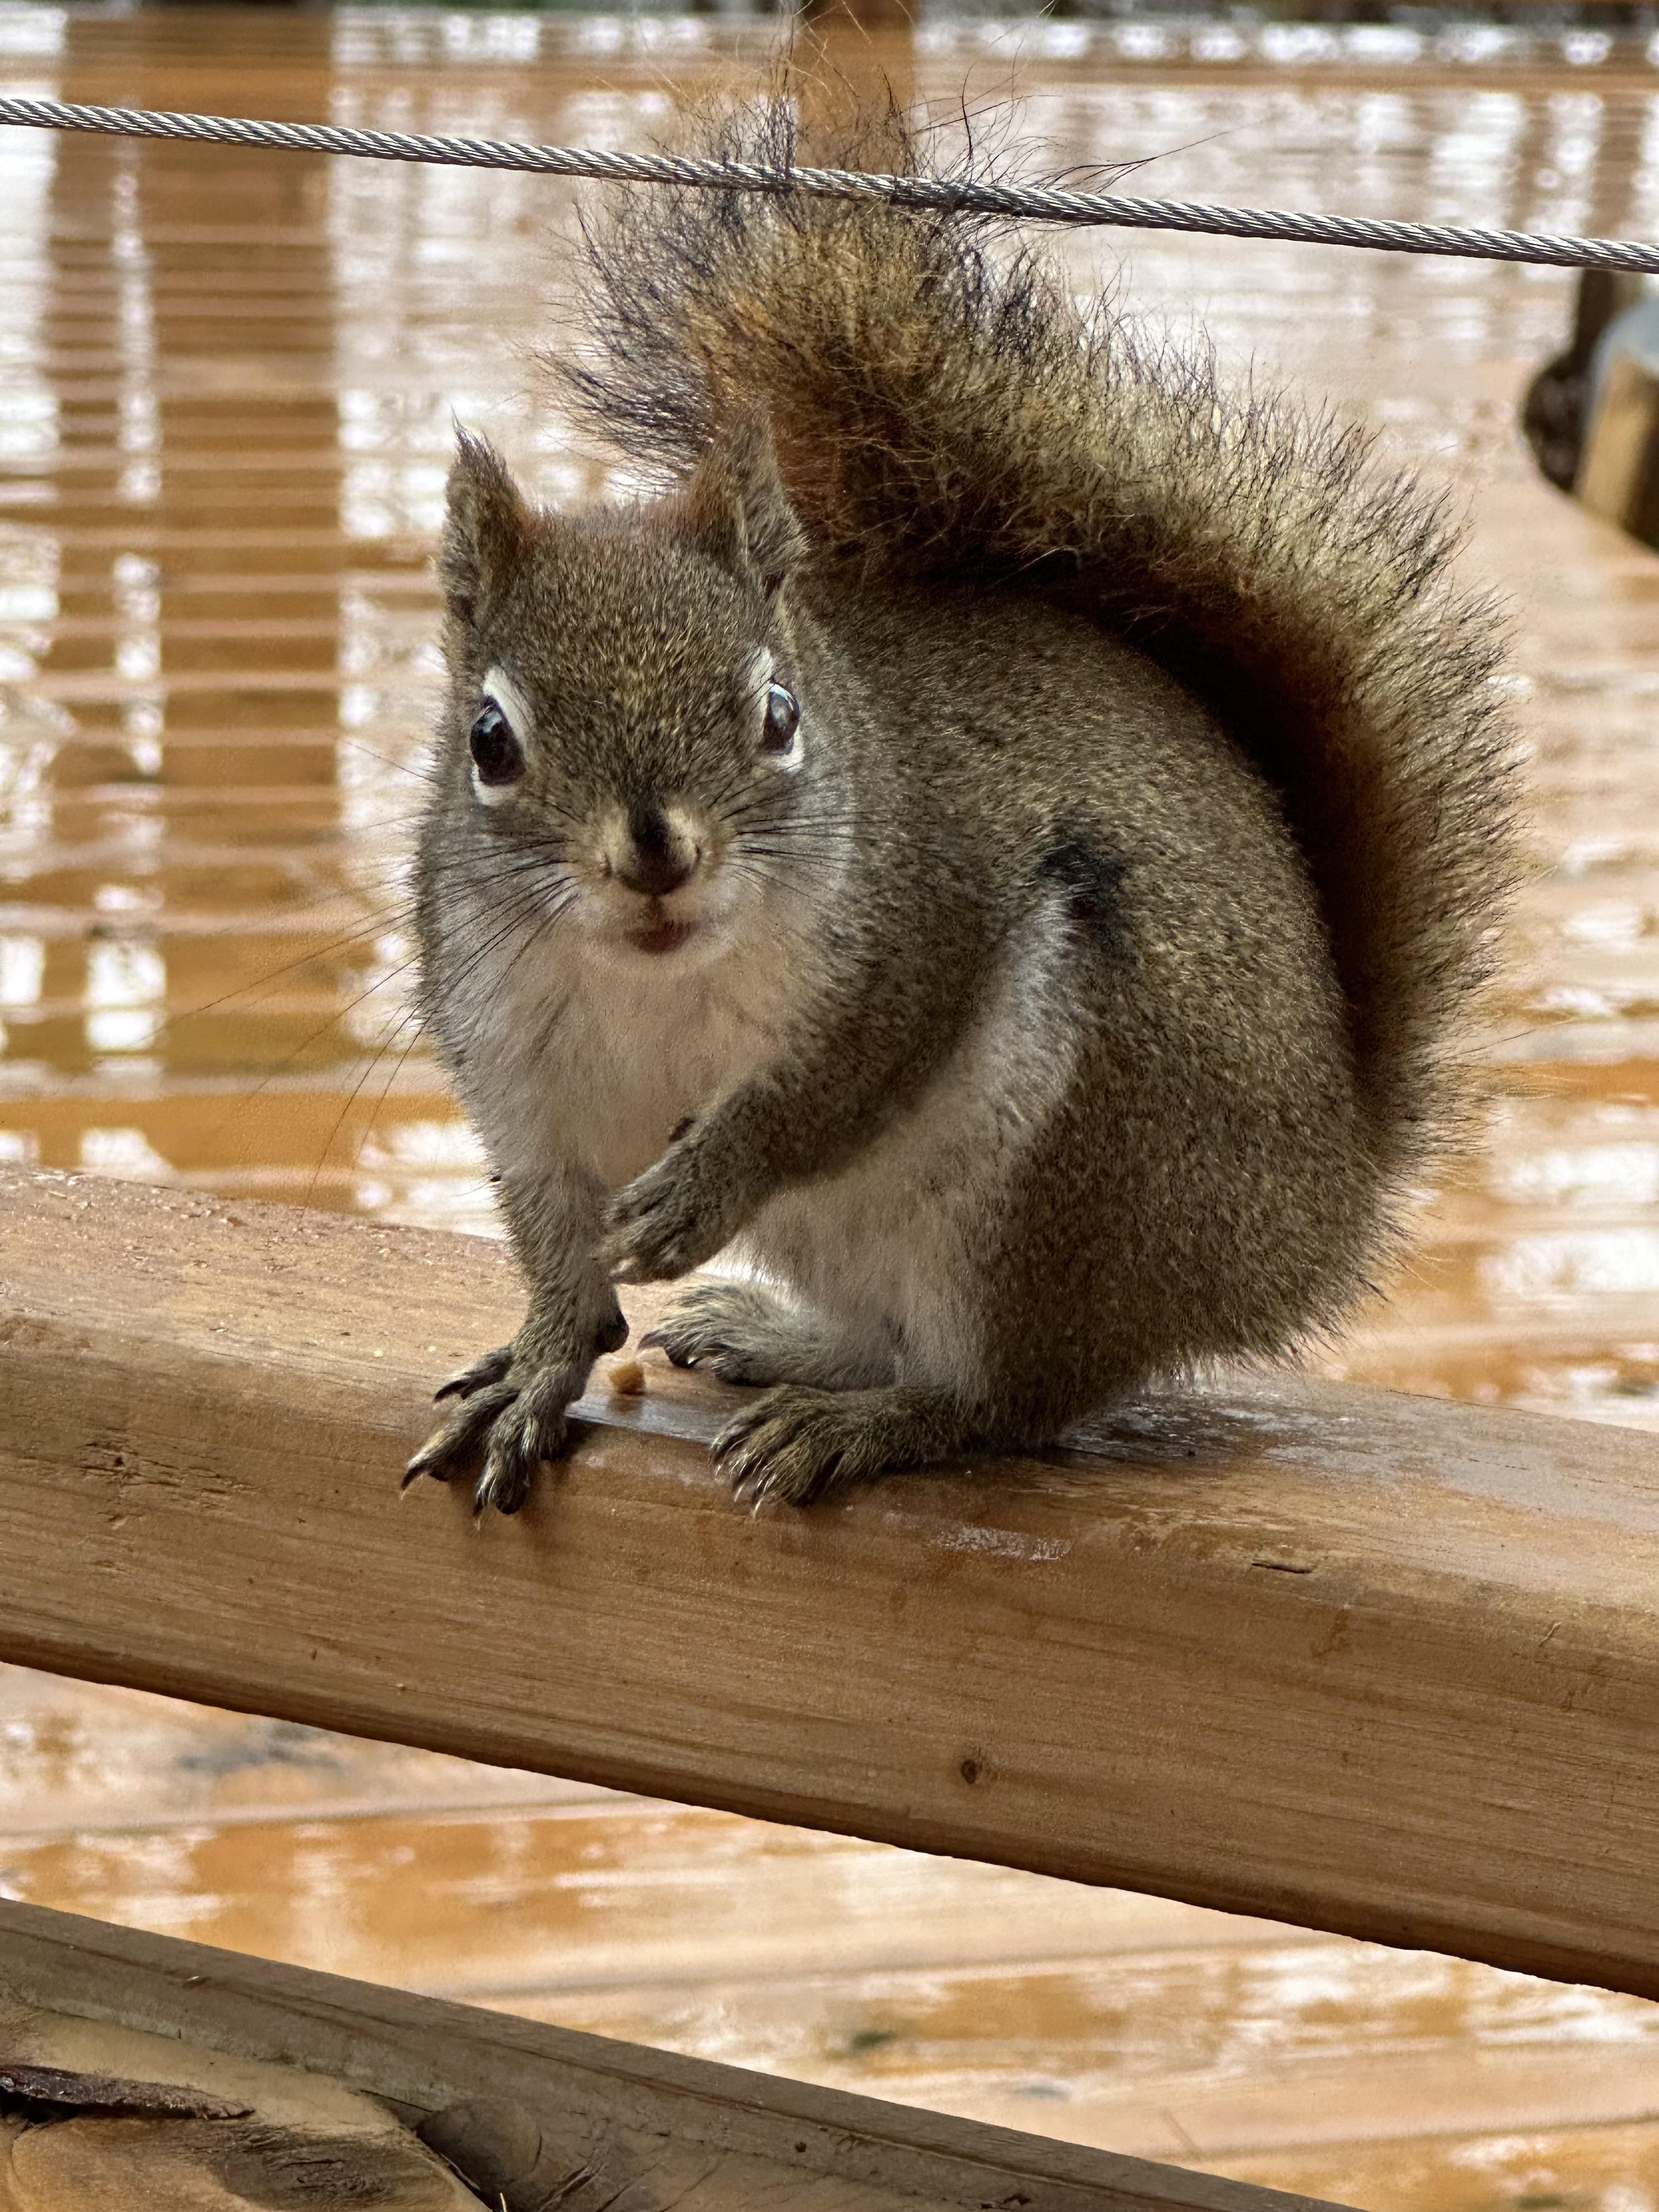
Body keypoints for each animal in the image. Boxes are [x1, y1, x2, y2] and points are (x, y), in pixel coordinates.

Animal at [403, 97, 1518, 1519]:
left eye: (779, 716)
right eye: (488, 741)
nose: (655, 858)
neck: (656, 983)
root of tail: (1310, 1220)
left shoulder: (923, 930)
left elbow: (836, 1090)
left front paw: (707, 1184)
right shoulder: (515, 1070)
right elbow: (556, 1253)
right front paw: (541, 1363)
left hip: (1063, 1173)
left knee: (1008, 1400)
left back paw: (866, 1421)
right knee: (897, 1334)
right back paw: (782, 1340)